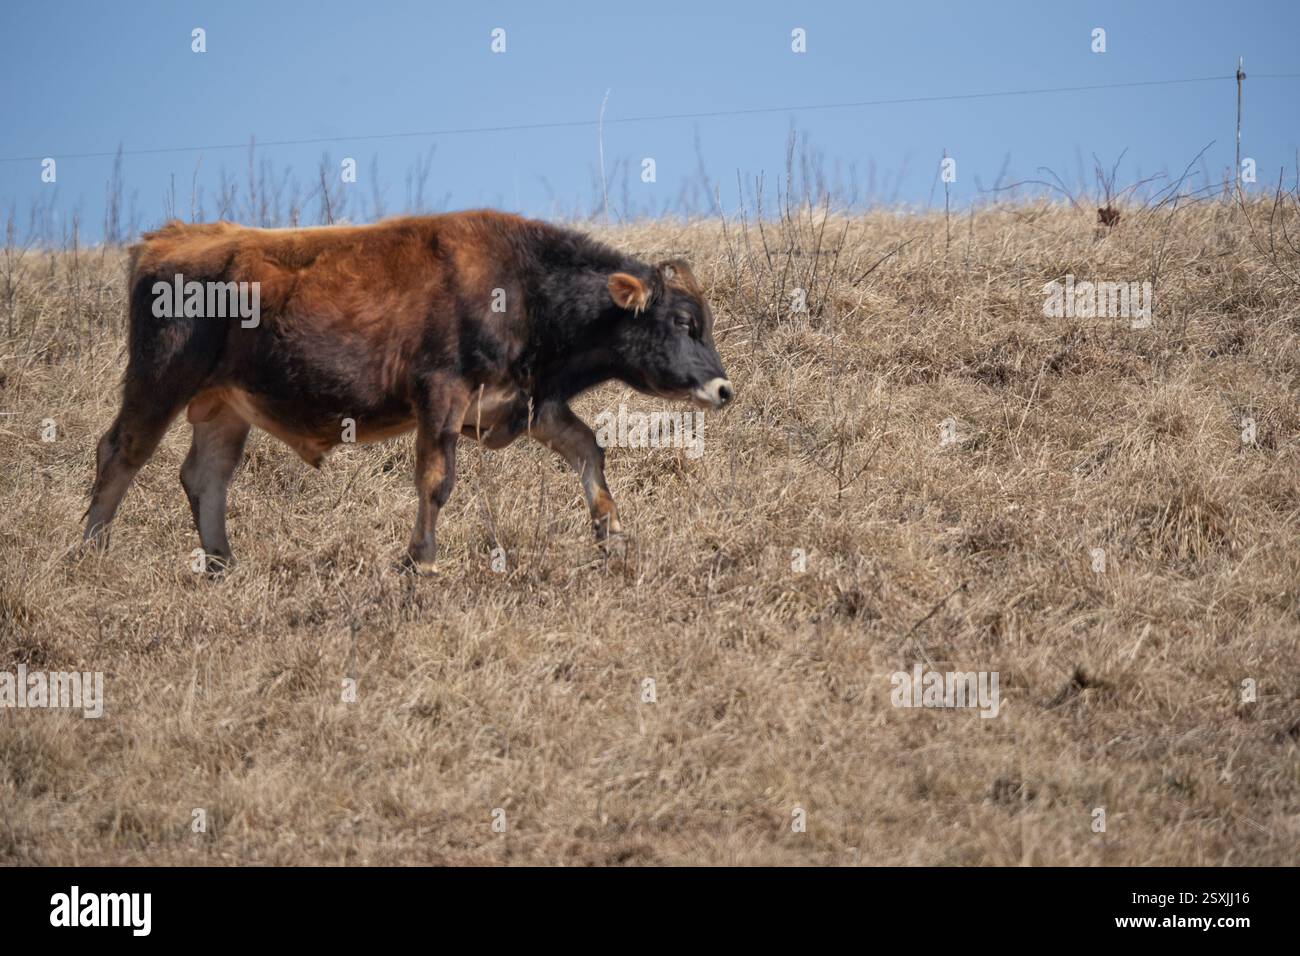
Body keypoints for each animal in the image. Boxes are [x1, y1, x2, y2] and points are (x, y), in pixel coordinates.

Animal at [83, 211, 734, 570]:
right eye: (684, 322)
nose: (724, 388)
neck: (522, 285)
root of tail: (168, 238)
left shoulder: (526, 404)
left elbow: (588, 449)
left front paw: (612, 533)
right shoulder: (440, 396)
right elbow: (436, 480)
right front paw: (420, 559)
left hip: (225, 405)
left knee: (206, 475)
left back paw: (221, 562)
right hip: (159, 382)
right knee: (121, 452)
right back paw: (90, 547)